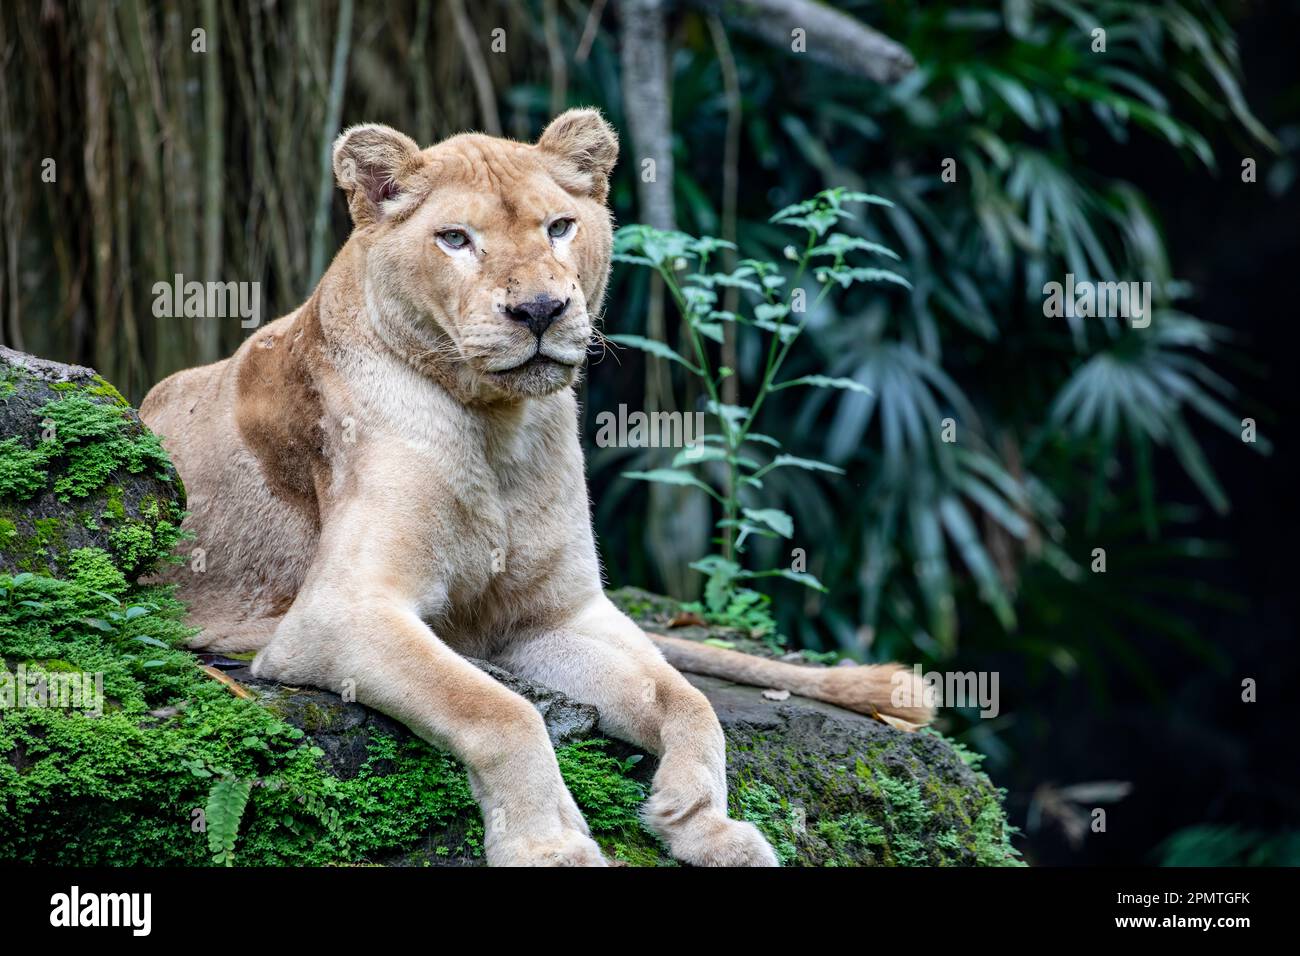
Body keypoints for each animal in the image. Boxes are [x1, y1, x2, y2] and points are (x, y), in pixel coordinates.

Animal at [139, 109, 933, 867]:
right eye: (455, 239)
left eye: (559, 227)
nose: (541, 312)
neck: (501, 429)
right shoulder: (339, 613)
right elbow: (497, 710)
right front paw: (545, 844)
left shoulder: (556, 614)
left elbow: (684, 698)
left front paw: (702, 823)